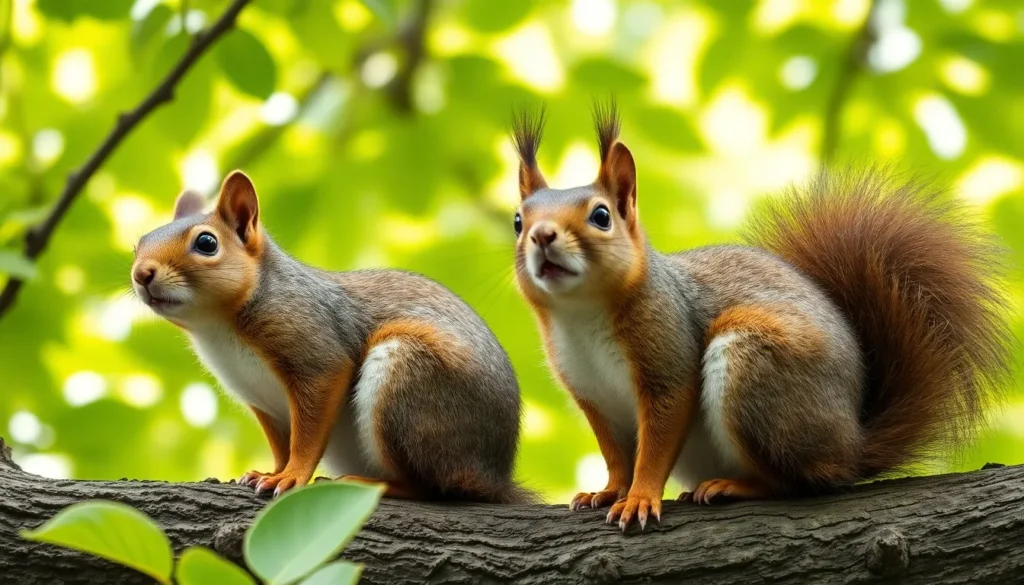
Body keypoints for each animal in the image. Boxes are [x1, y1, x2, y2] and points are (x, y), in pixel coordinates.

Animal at [131, 170, 532, 503]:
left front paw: (290, 476)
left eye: (206, 243)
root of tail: (493, 477)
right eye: (138, 244)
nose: (141, 273)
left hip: (411, 385)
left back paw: (371, 484)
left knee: (431, 488)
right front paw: (270, 471)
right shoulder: (260, 398)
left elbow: (307, 433)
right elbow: (281, 445)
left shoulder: (314, 348)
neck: (216, 329)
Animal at [510, 102, 1012, 531]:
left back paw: (737, 486)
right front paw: (610, 490)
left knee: (801, 481)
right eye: (518, 220)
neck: (581, 314)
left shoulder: (667, 353)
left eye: (601, 216)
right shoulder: (590, 394)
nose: (541, 235)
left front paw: (639, 497)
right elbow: (616, 454)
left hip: (755, 368)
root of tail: (853, 443)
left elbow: (656, 443)